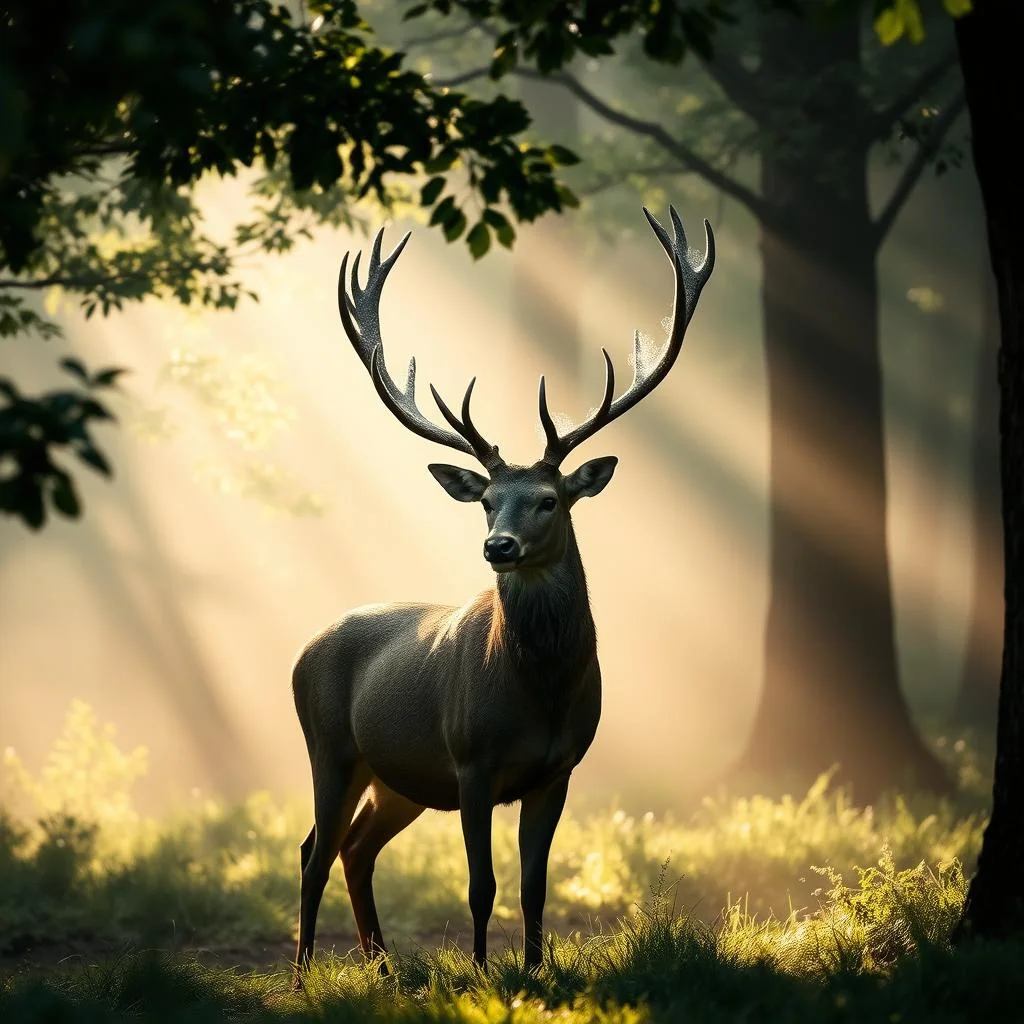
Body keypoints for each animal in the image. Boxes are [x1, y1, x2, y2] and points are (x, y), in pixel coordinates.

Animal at [292, 205, 715, 978]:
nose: (499, 546)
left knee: (354, 848)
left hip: (397, 776)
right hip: (329, 744)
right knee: (314, 849)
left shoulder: (560, 768)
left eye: (549, 499)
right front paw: (486, 973)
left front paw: (535, 971)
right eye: (488, 501)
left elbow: (534, 884)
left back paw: (384, 967)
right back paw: (306, 972)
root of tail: (304, 648)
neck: (540, 689)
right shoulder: (472, 761)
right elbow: (480, 884)